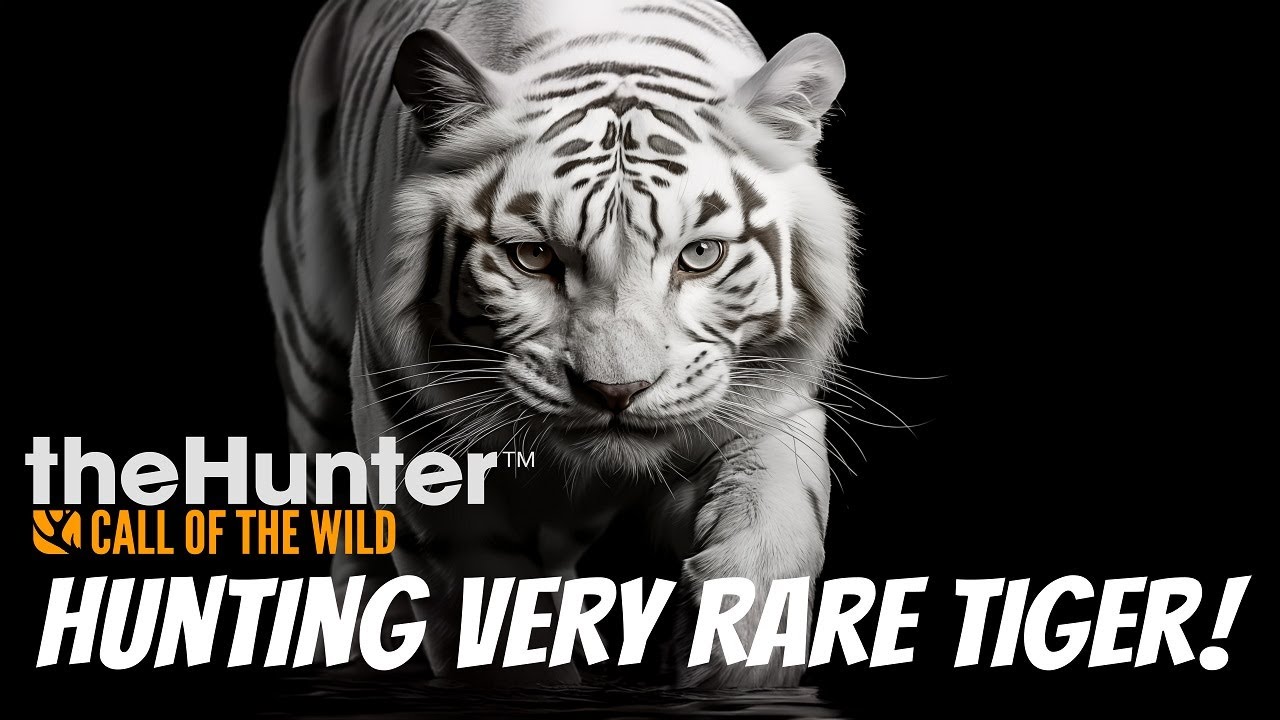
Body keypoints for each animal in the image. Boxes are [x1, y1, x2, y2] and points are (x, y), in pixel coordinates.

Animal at [263, 0, 860, 688]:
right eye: (533, 257)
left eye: (701, 255)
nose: (616, 392)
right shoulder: (414, 440)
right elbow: (486, 609)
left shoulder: (767, 400)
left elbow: (776, 511)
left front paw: (731, 662)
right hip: (314, 364)